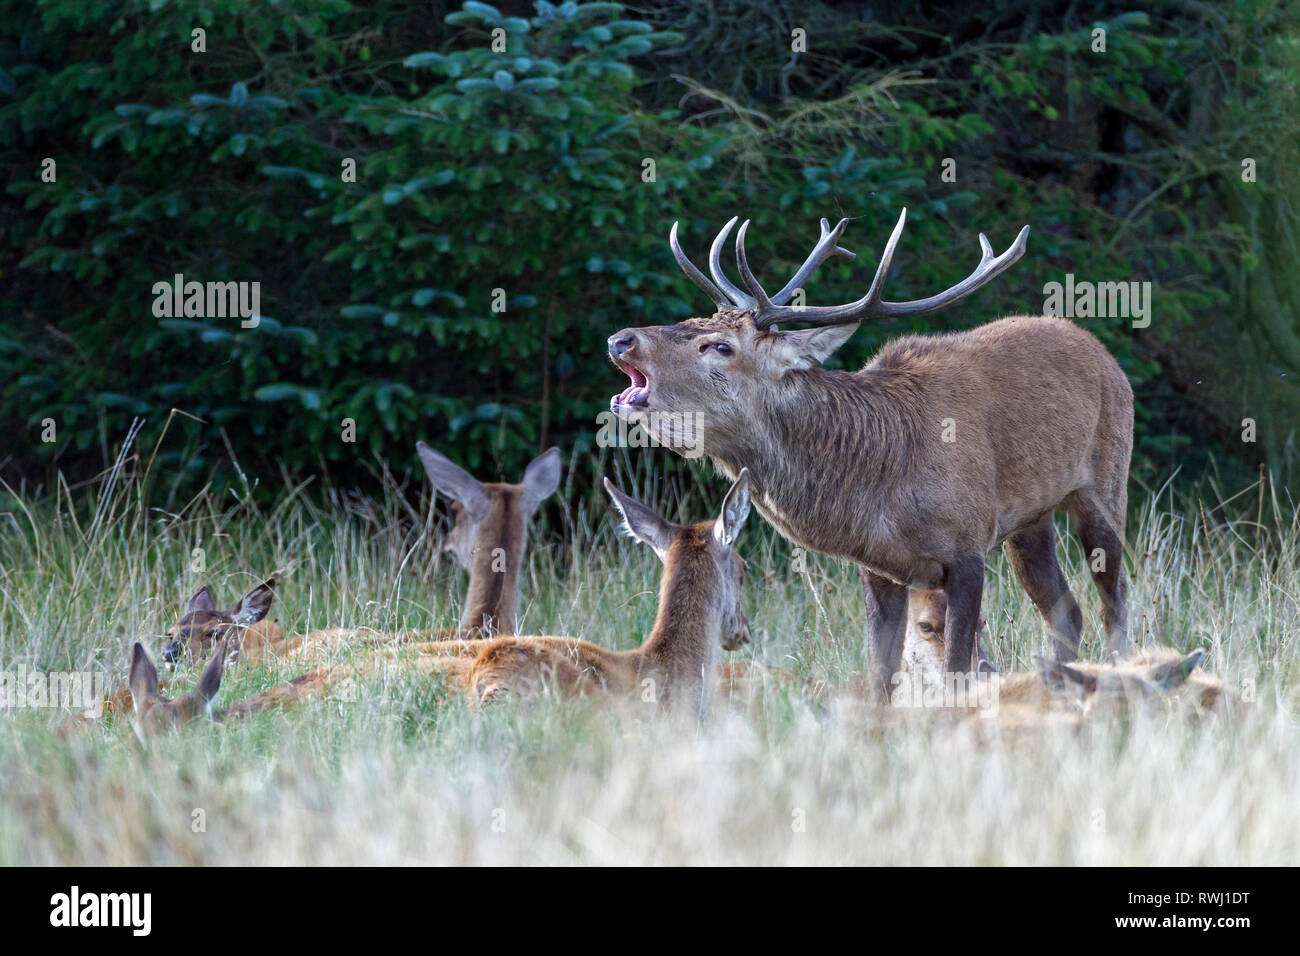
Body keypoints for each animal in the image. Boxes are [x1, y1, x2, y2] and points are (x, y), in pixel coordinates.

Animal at [606, 209, 1134, 701]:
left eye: (719, 346)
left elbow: (957, 670)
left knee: (1114, 601)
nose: (621, 338)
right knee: (1066, 612)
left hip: (1105, 484)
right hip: (1028, 522)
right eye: (691, 321)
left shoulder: (966, 547)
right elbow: (881, 676)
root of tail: (1098, 348)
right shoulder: (880, 567)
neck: (884, 481)